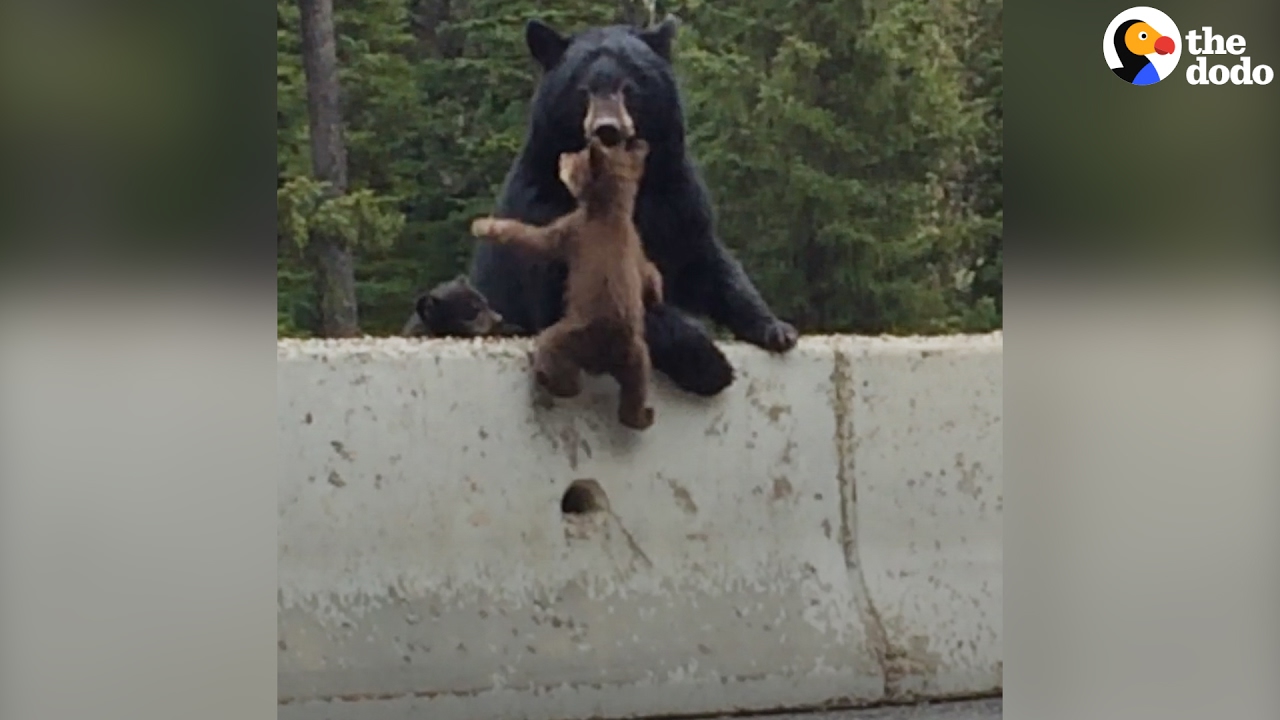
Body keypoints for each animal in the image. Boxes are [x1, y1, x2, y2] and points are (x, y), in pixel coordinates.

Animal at [467, 17, 798, 398]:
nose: (607, 129)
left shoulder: (674, 203)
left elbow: (709, 264)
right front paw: (708, 363)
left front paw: (775, 328)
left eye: (629, 86)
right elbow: (575, 299)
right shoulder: (547, 212)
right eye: (583, 89)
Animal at [470, 129, 662, 430]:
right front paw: (656, 294)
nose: (563, 155)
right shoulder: (635, 244)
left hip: (575, 335)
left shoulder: (574, 230)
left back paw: (548, 378)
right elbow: (648, 272)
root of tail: (607, 357)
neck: (611, 209)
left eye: (577, 158)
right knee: (636, 390)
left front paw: (483, 225)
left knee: (556, 355)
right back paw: (642, 416)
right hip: (638, 357)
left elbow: (534, 238)